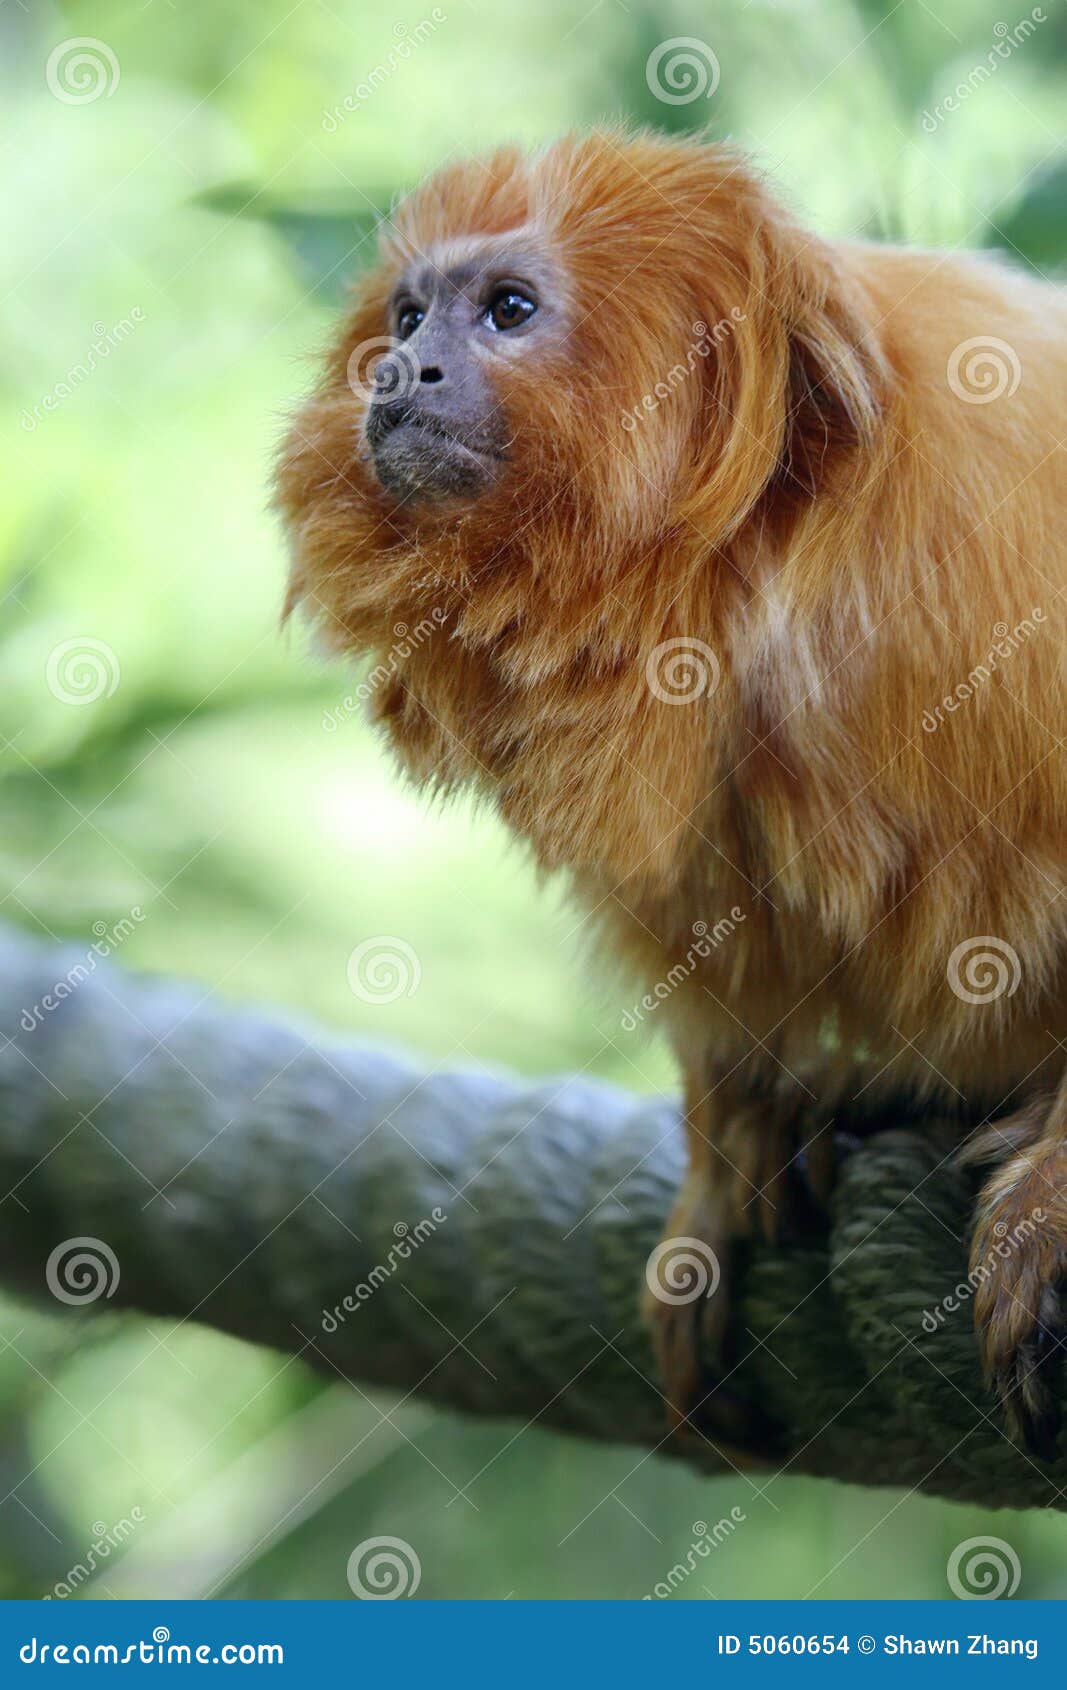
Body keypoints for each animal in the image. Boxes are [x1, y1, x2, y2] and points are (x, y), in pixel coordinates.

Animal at [276, 128, 1067, 1461]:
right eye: (407, 311)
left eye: (507, 311)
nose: (398, 369)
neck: (763, 551)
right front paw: (724, 1161)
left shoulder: (995, 552)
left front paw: (1048, 1206)